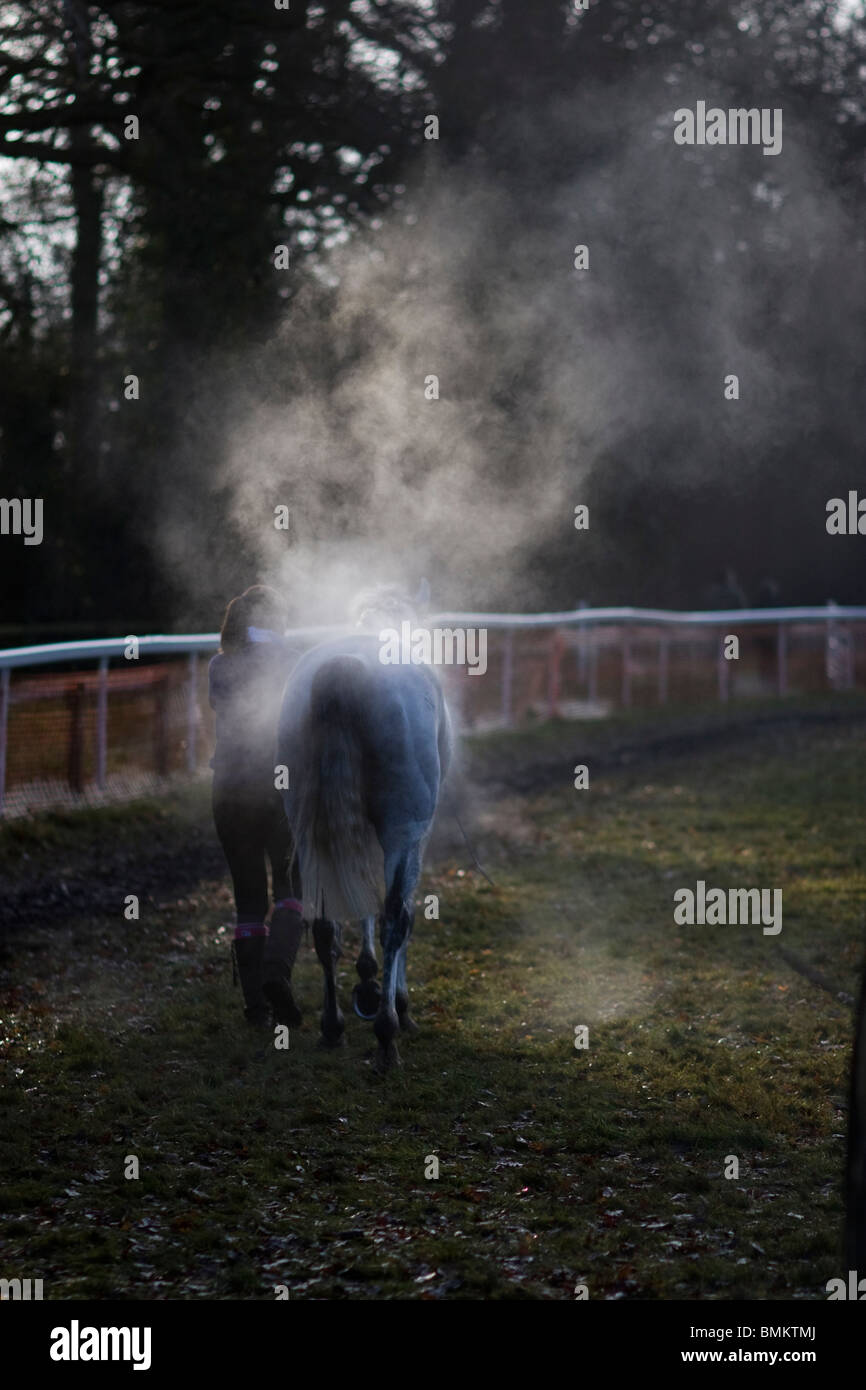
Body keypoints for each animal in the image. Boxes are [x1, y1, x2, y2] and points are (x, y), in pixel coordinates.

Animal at [277, 583, 452, 1071]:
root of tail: (343, 672)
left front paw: (369, 981)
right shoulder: (413, 837)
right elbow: (398, 912)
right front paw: (395, 1001)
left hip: (307, 827)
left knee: (323, 922)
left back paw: (332, 1027)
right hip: (402, 828)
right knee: (396, 916)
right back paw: (388, 1035)